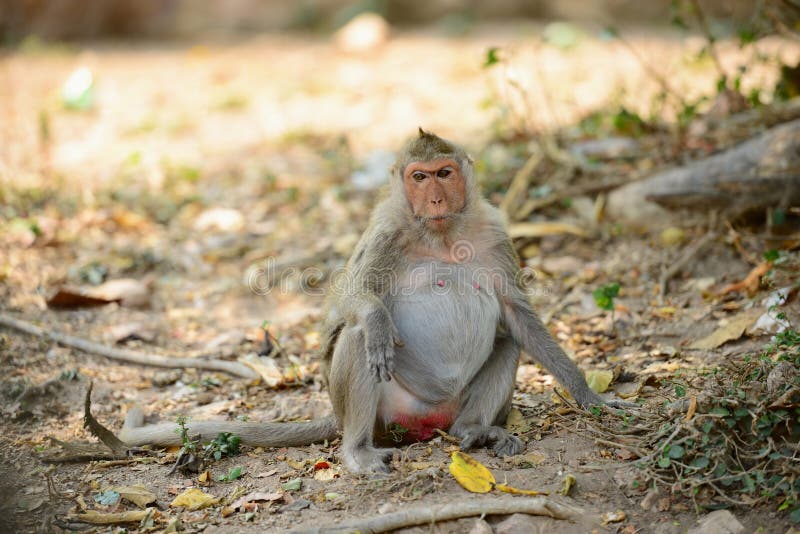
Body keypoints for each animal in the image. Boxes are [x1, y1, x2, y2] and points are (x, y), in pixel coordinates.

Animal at [119, 129, 623, 474]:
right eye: (419, 177)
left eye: (445, 173)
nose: (435, 198)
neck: (442, 235)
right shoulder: (386, 232)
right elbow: (348, 304)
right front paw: (377, 320)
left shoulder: (495, 230)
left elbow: (519, 317)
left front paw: (587, 394)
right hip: (385, 414)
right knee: (357, 339)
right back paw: (358, 450)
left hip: (450, 409)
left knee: (507, 343)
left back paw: (473, 431)